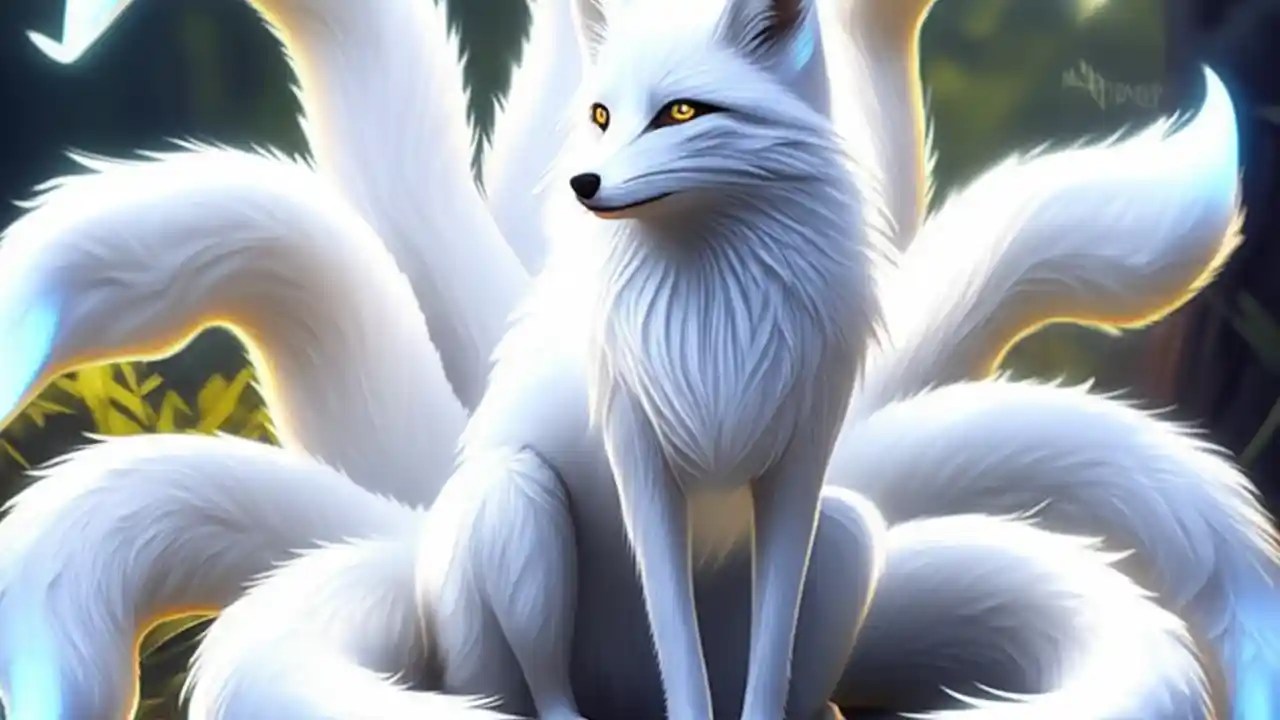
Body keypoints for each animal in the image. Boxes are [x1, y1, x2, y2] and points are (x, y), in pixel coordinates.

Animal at [0, 0, 1273, 718]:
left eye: (684, 113)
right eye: (602, 114)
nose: (580, 185)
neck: (709, 286)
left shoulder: (805, 453)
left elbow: (760, 641)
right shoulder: (635, 454)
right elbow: (667, 620)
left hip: (857, 539)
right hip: (493, 539)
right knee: (525, 679)